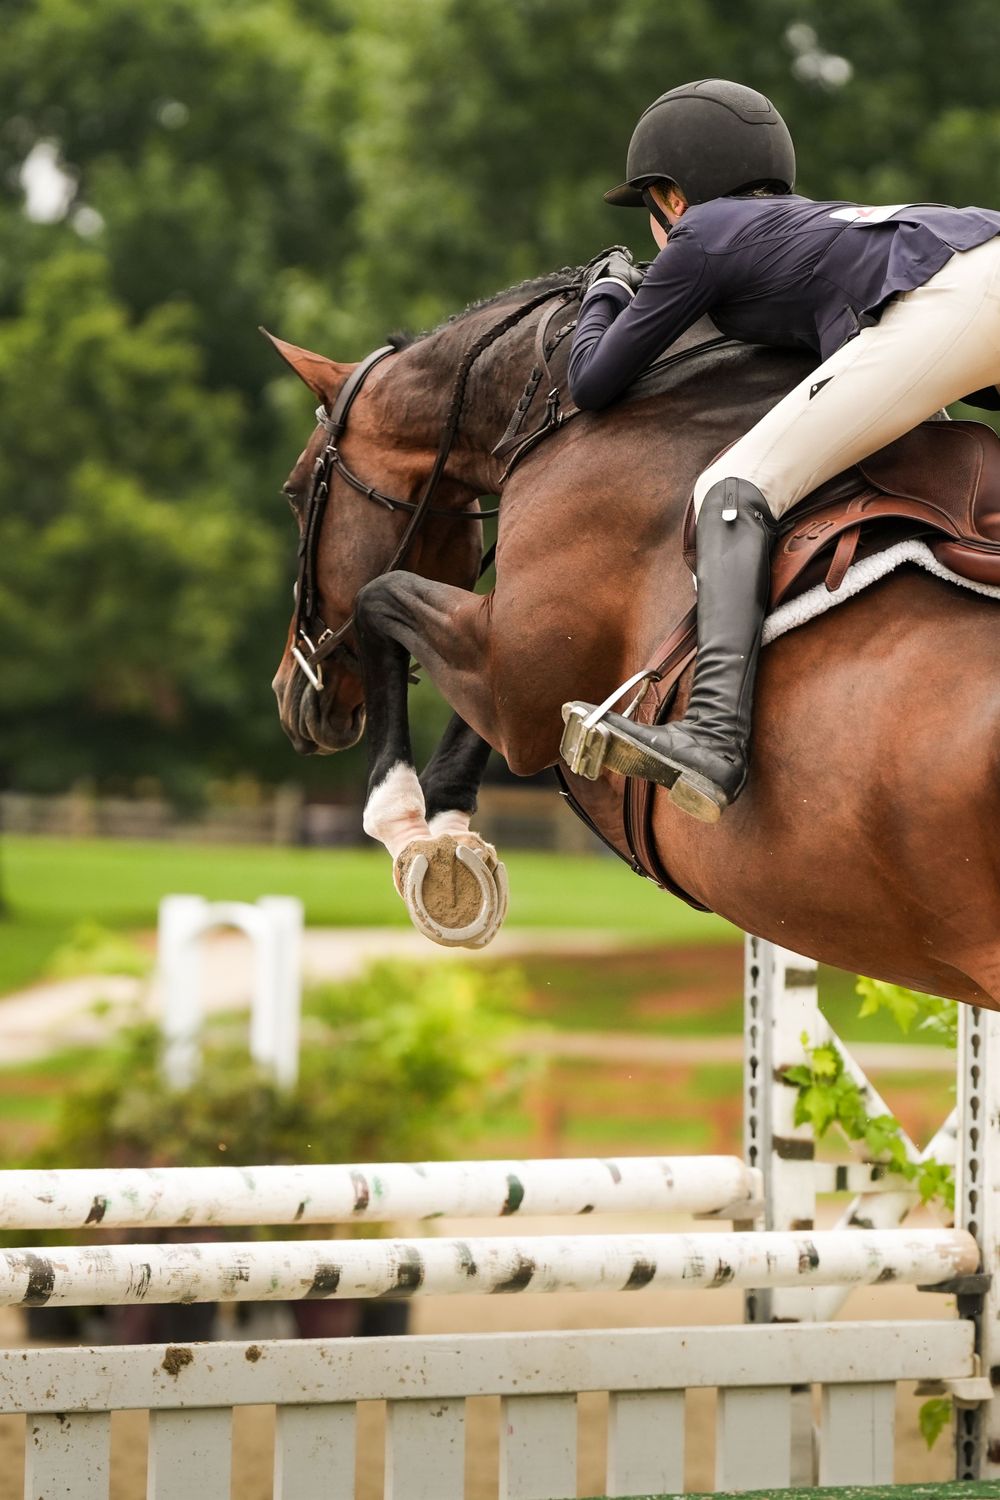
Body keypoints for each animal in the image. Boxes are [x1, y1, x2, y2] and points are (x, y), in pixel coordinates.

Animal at [267, 269, 1000, 1007]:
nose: (290, 698)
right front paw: (451, 853)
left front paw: (405, 827)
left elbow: (378, 597)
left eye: (296, 493)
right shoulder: (526, 671)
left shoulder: (513, 679)